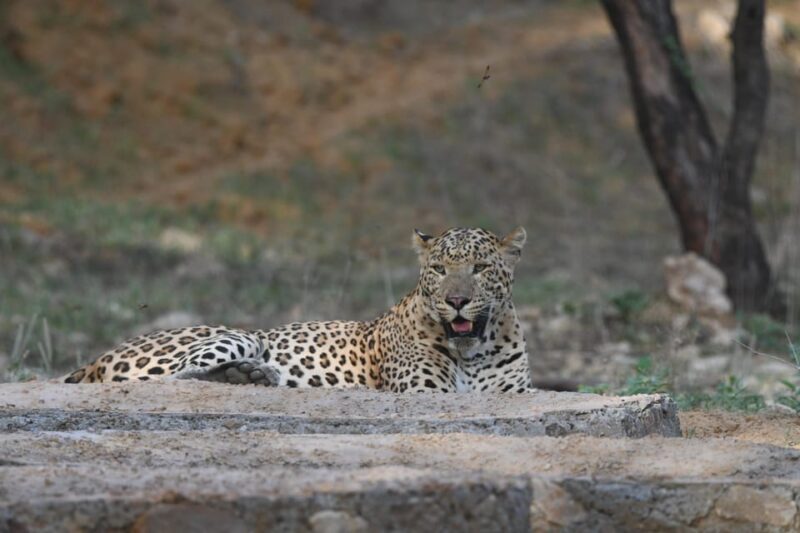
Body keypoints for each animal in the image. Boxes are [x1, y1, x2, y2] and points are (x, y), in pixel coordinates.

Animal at [63, 227, 532, 392]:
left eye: (480, 268)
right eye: (438, 269)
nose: (456, 301)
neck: (473, 353)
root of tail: (96, 358)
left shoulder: (512, 392)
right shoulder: (424, 391)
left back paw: (251, 375)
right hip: (239, 334)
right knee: (179, 375)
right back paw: (252, 374)